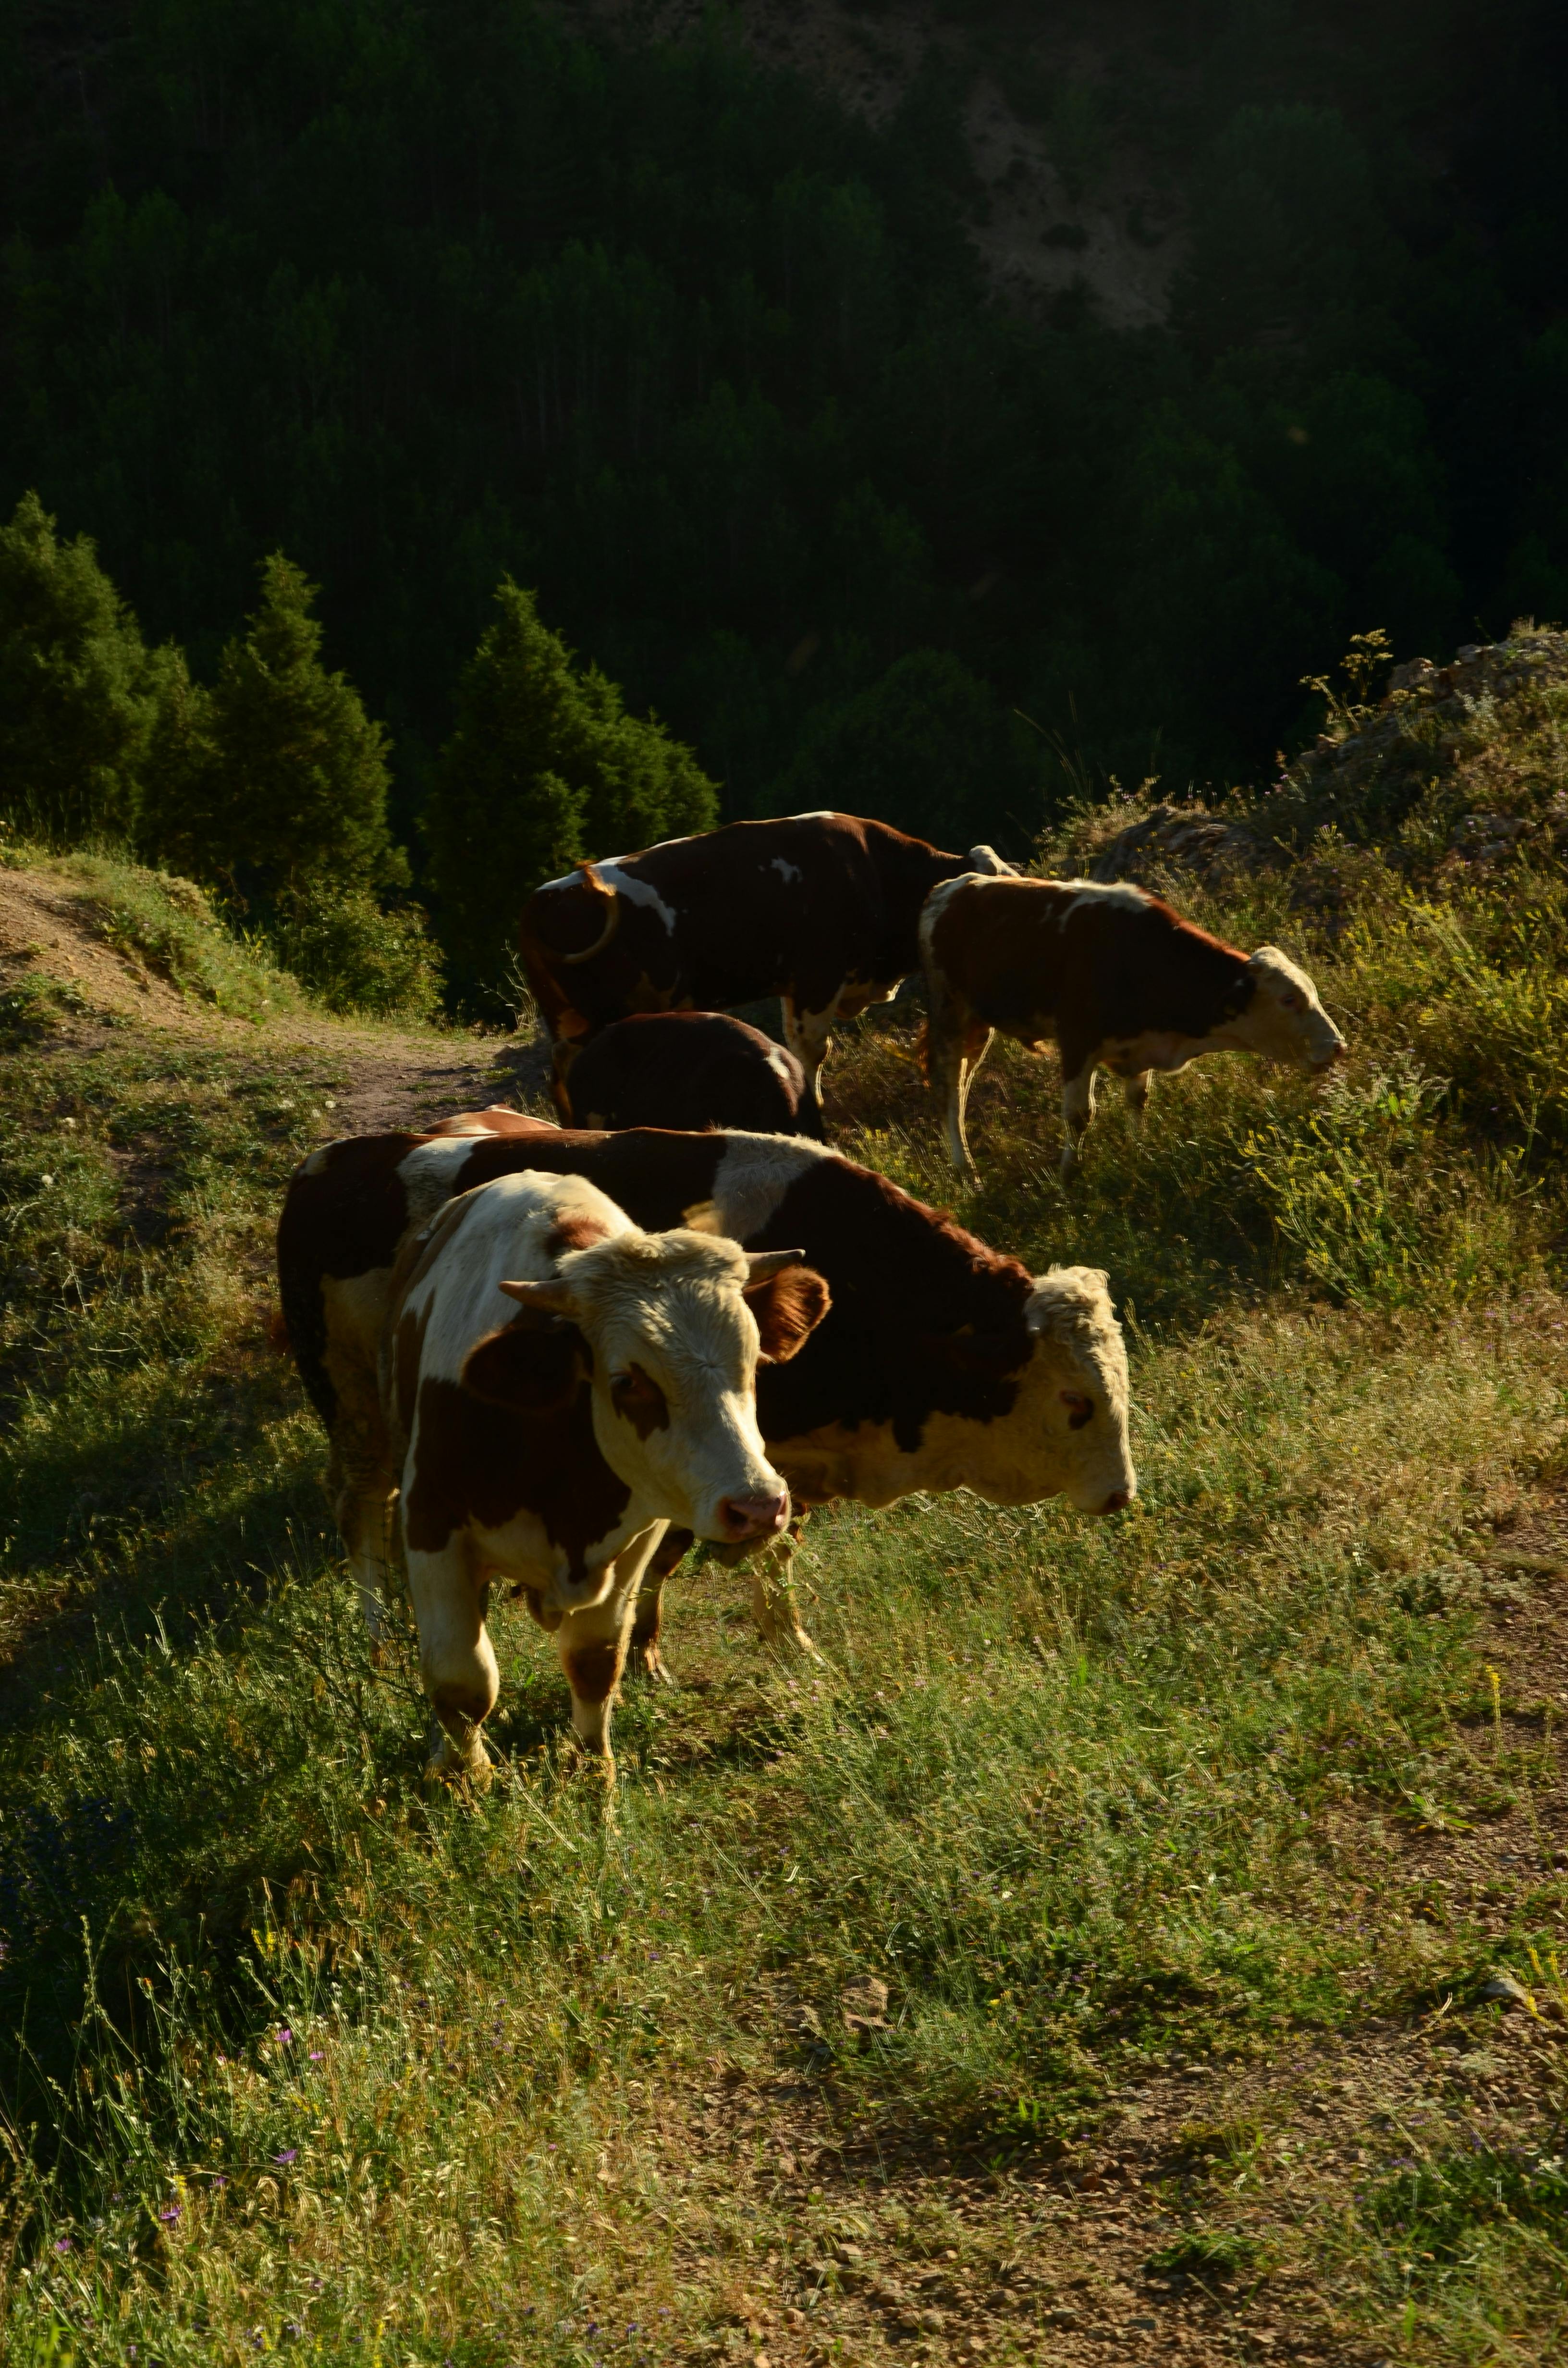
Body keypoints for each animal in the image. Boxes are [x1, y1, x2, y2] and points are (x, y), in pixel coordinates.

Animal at [276, 1119, 1135, 1682]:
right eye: (1075, 1401)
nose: (1121, 1494)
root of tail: (328, 1162)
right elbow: (687, 1551)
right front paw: (671, 1651)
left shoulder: (760, 1460)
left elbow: (755, 1548)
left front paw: (773, 1640)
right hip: (353, 1411)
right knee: (362, 1509)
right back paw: (380, 1635)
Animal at [381, 1168, 827, 1782]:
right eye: (626, 1381)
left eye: (755, 1362)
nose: (760, 1507)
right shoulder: (429, 1524)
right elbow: (460, 1682)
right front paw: (465, 1780)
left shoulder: (638, 1539)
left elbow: (595, 1662)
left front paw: (595, 1778)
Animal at [518, 813, 1015, 1121]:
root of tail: (544, 896)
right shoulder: (817, 979)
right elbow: (813, 1050)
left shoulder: (796, 986)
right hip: (602, 1016)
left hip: (567, 1021)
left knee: (560, 1077)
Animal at [918, 875, 1346, 1182]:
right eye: (1289, 999)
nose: (1337, 1046)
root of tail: (950, 888)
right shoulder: (1077, 1041)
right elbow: (1079, 1114)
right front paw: (1068, 1177)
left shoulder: (1140, 1050)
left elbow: (1138, 1100)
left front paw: (1136, 1154)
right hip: (950, 1015)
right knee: (950, 1089)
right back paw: (965, 1170)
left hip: (979, 1027)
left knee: (963, 1086)